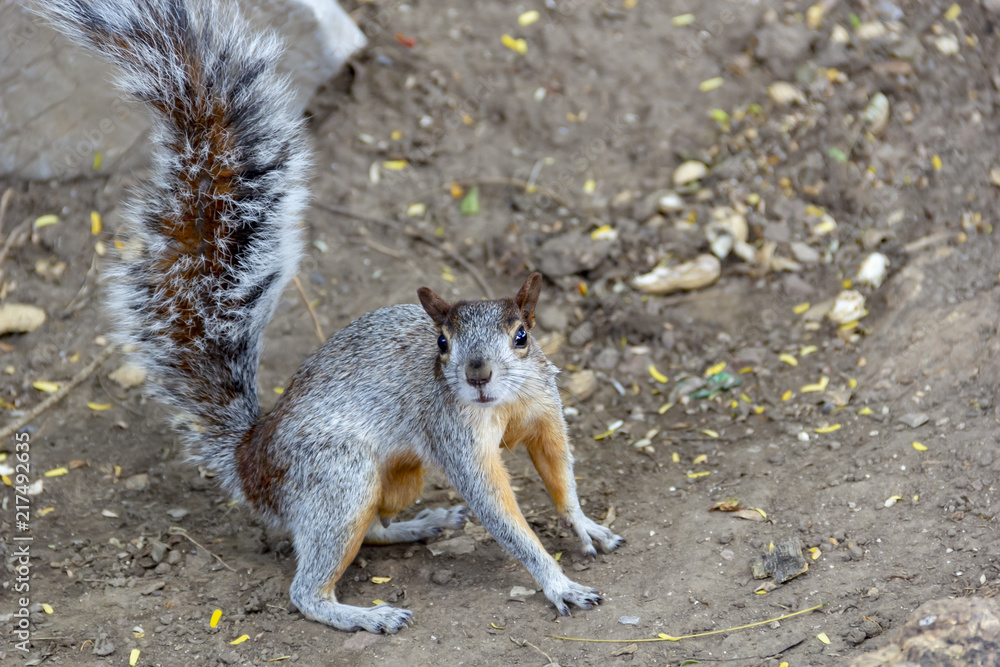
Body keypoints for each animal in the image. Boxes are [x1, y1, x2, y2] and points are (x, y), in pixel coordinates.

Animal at [40, 0, 623, 633]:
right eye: (442, 343)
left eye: (522, 337)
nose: (477, 375)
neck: (502, 406)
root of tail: (251, 462)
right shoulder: (455, 439)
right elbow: (504, 519)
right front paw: (557, 582)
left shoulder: (544, 412)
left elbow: (560, 474)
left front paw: (584, 524)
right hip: (339, 480)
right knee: (308, 588)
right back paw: (364, 614)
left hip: (396, 477)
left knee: (375, 532)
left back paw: (422, 524)